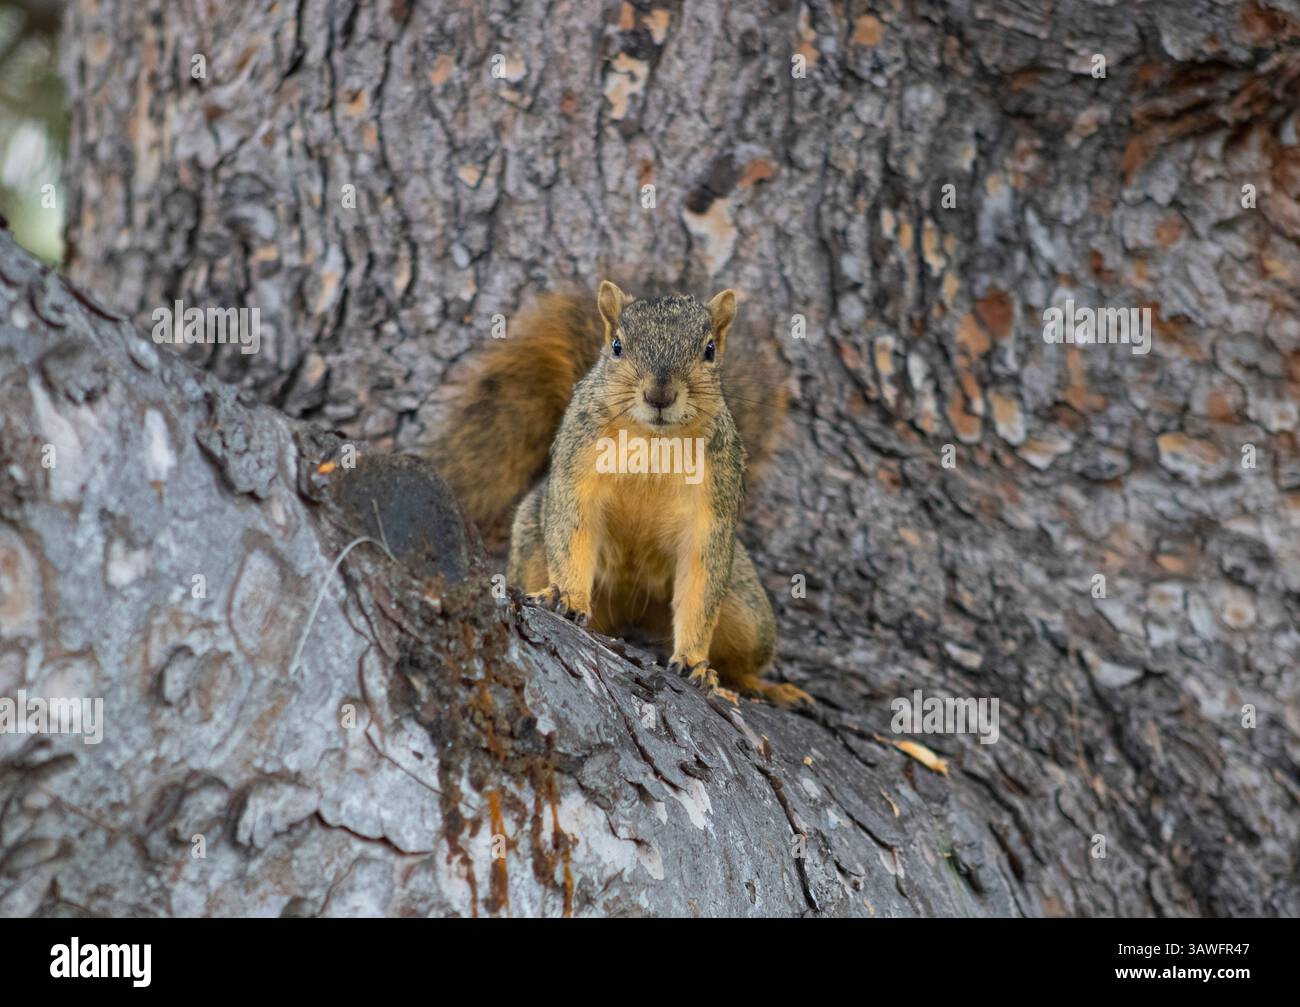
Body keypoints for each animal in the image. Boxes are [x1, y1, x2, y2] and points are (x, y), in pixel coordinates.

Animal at [434, 281, 810, 706]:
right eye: (617, 346)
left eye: (710, 350)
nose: (659, 395)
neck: (653, 440)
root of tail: (634, 610)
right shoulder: (578, 470)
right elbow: (572, 532)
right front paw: (568, 597)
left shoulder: (714, 502)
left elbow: (700, 582)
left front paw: (694, 663)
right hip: (532, 547)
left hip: (748, 614)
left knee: (740, 659)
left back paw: (762, 687)